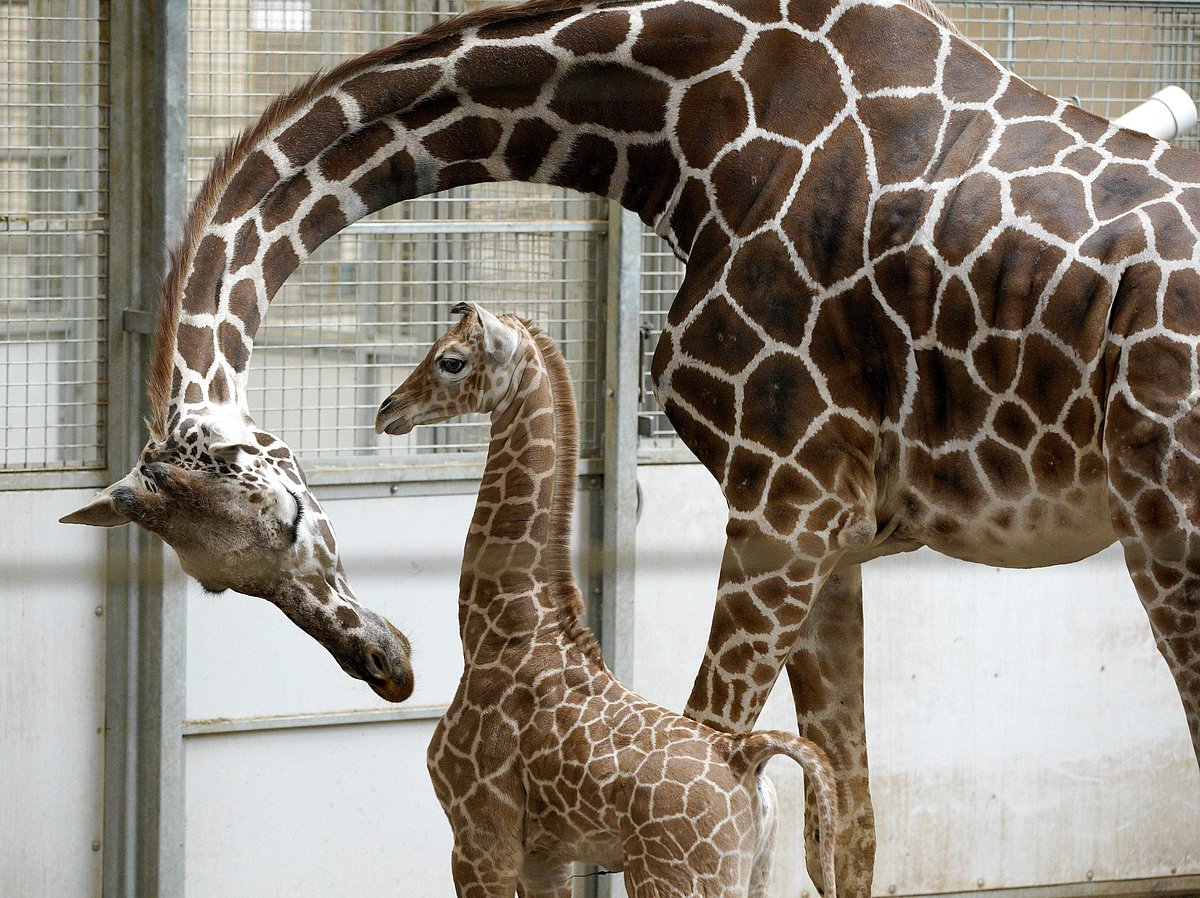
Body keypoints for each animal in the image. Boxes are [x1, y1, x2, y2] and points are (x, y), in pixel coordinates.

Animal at [376, 301, 839, 898]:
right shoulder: (545, 854)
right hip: (753, 874)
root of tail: (744, 756)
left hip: (676, 880)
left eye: (450, 361)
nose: (388, 410)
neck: (500, 632)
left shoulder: (481, 838)